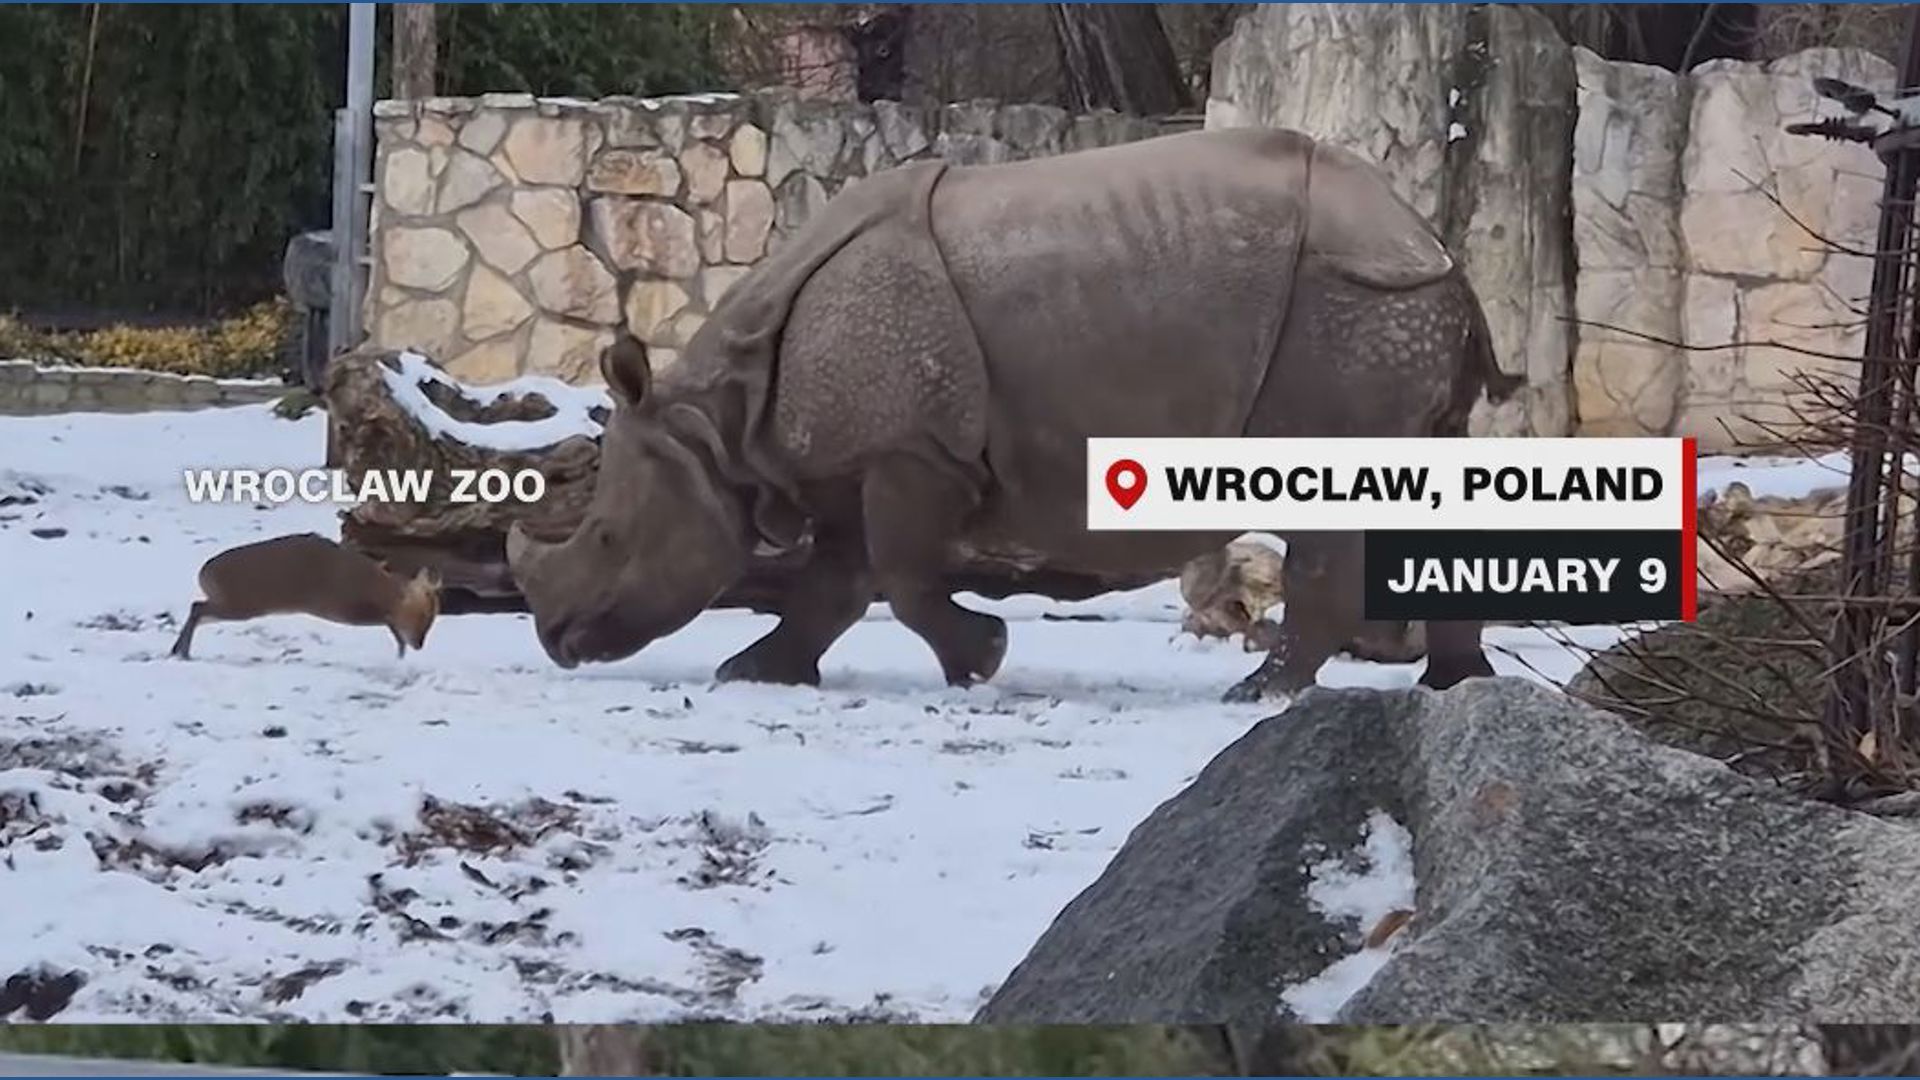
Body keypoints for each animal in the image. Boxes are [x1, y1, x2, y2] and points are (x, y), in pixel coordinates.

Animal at [507, 126, 1524, 701]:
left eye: (605, 537)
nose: (555, 644)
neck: (717, 423)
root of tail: (1429, 239)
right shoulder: (861, 455)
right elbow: (836, 582)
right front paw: (755, 675)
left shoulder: (916, 448)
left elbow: (901, 576)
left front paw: (983, 660)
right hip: (1389, 313)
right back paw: (1457, 684)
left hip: (1353, 307)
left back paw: (1259, 694)